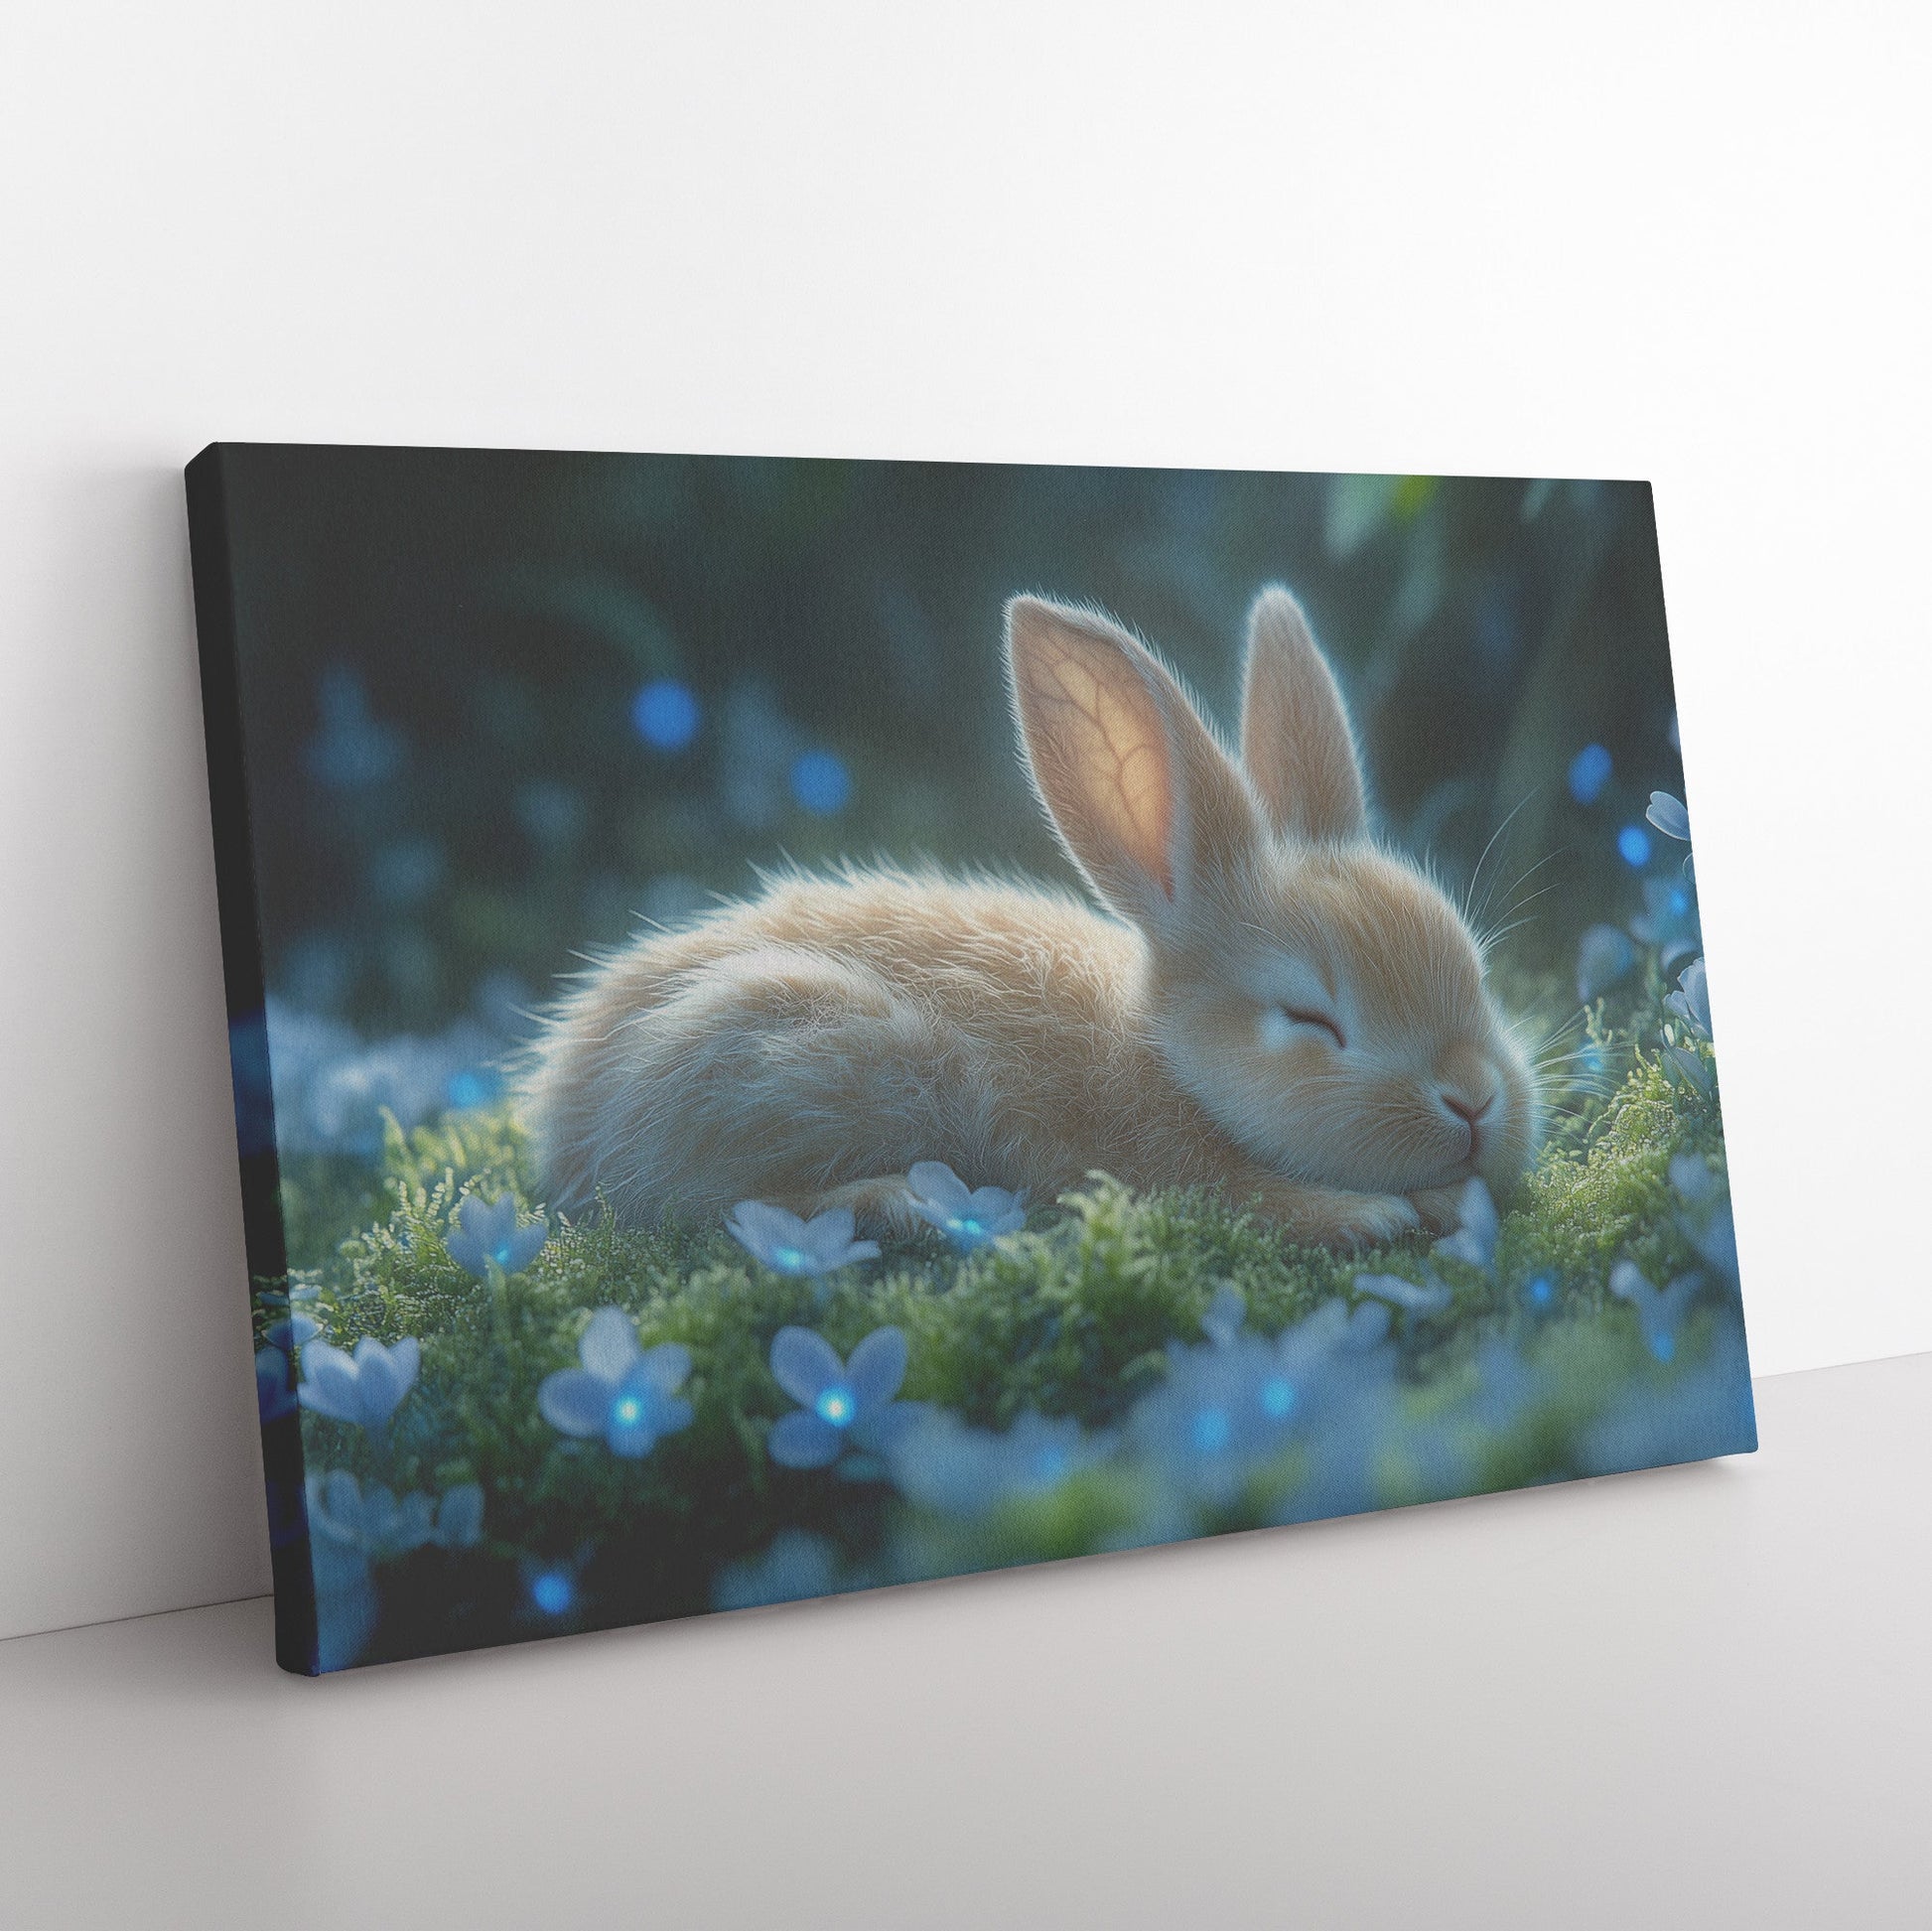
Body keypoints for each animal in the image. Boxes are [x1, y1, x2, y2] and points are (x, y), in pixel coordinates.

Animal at [521, 586, 1540, 1248]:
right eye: (1310, 1019)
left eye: (1477, 973)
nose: (1476, 1099)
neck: (1163, 1057)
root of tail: (568, 1114)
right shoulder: (1157, 1163)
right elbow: (1257, 1197)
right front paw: (1376, 1214)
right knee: (712, 1208)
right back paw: (900, 1199)